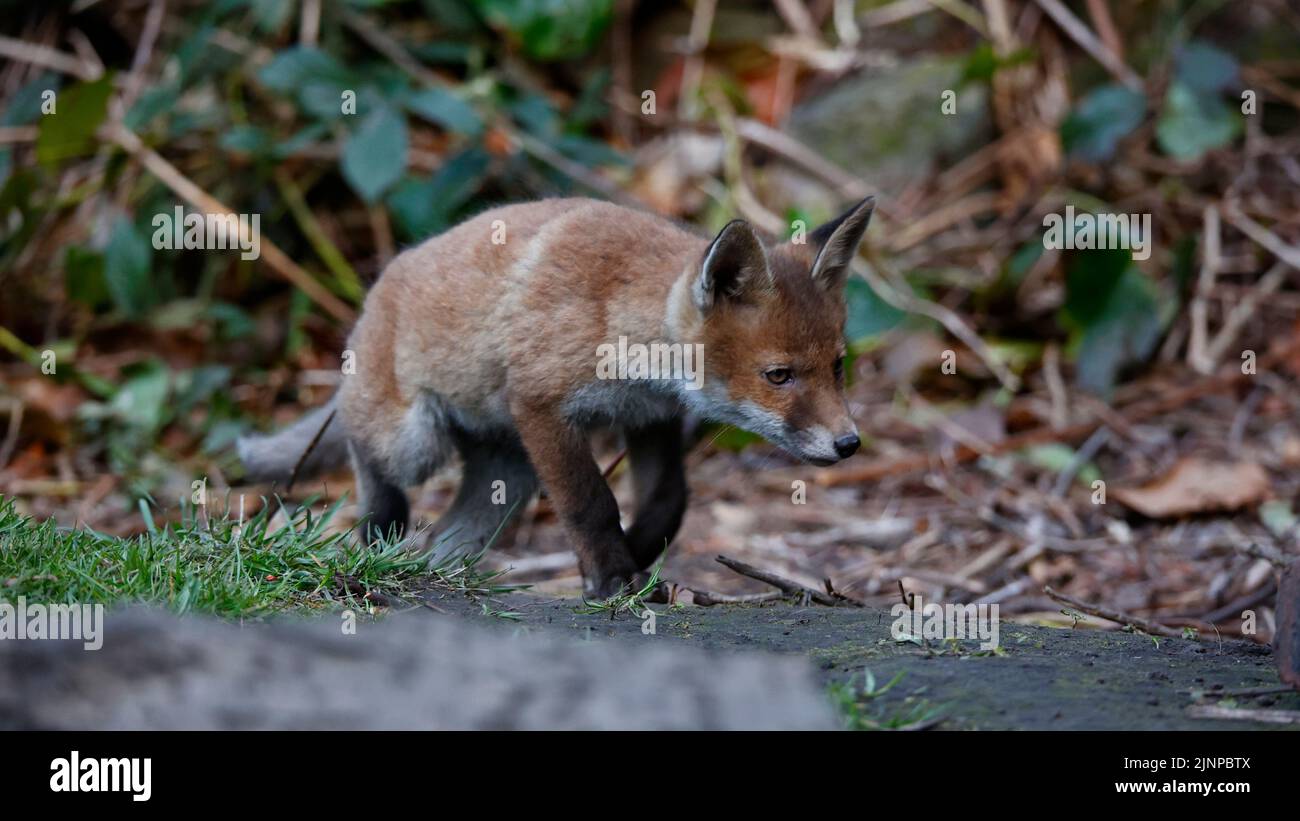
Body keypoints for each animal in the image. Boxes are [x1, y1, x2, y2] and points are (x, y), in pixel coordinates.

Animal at [238, 195, 874, 598]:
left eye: (838, 367)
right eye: (779, 376)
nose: (849, 444)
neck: (620, 319)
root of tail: (376, 287)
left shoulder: (653, 419)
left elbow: (668, 502)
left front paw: (636, 557)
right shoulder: (542, 405)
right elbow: (592, 502)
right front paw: (613, 580)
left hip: (509, 474)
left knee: (447, 537)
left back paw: (430, 574)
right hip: (415, 442)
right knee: (363, 451)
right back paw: (376, 537)